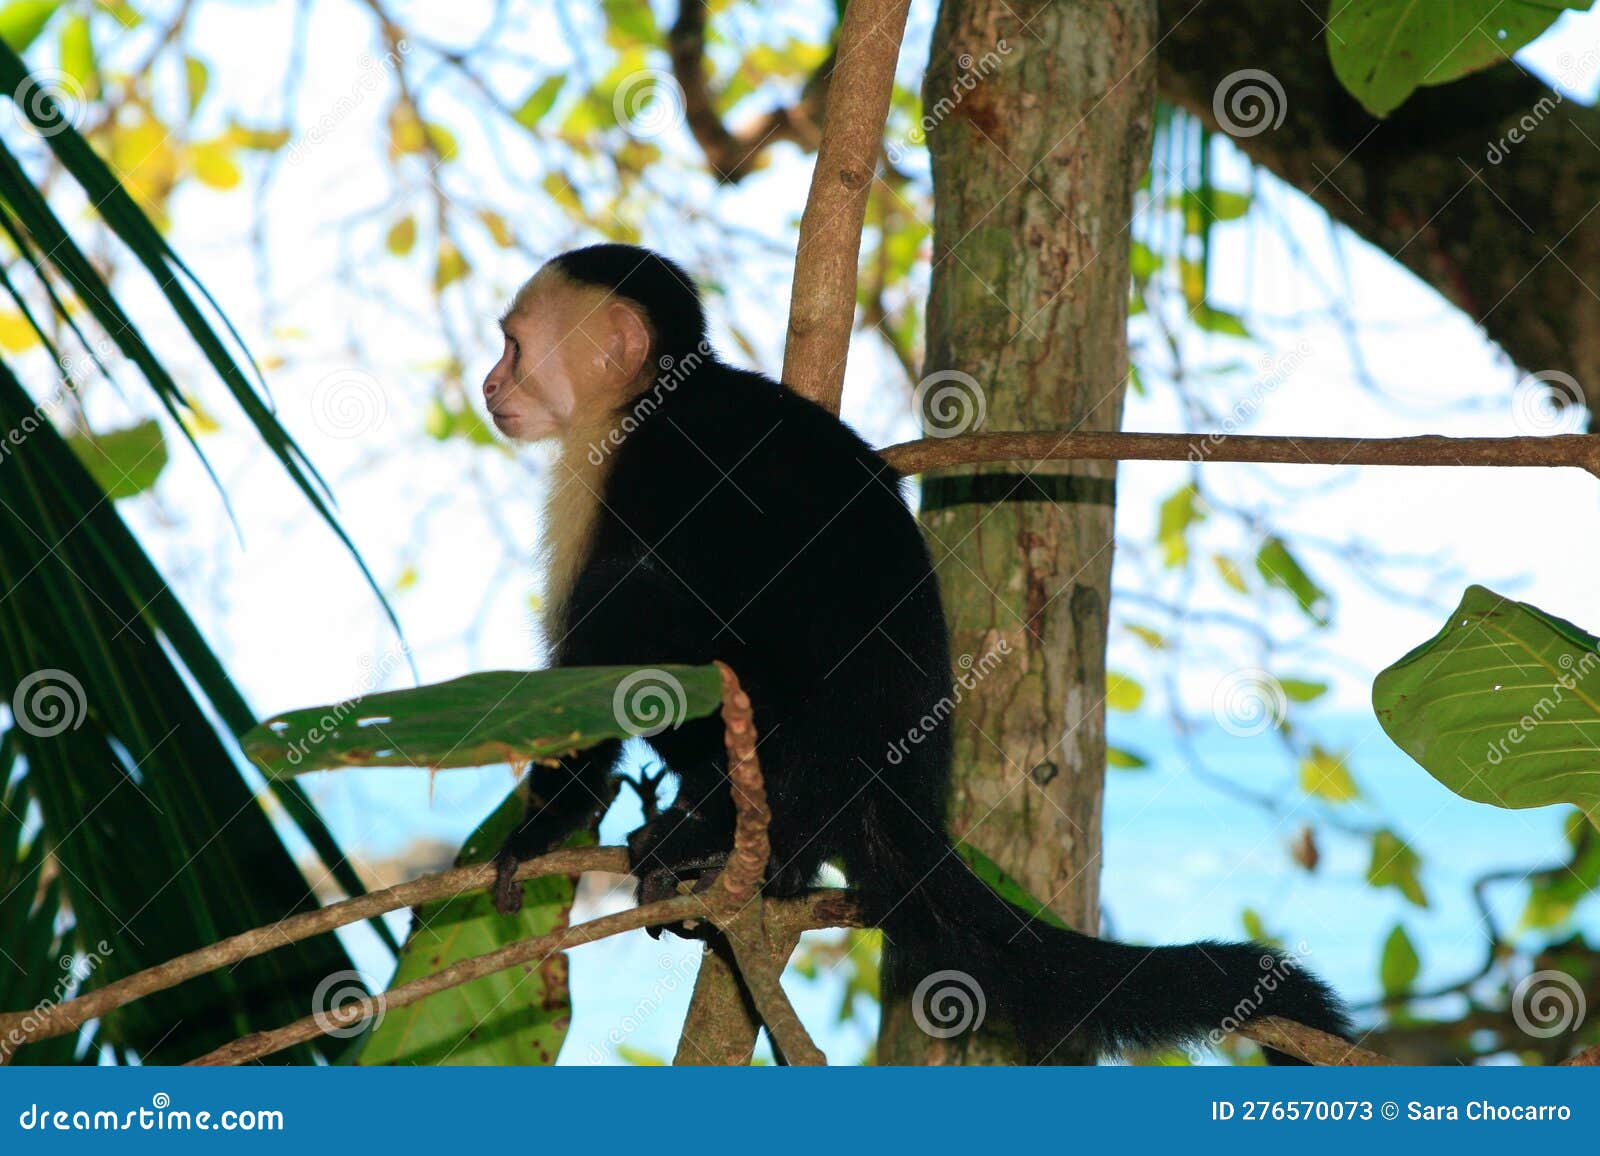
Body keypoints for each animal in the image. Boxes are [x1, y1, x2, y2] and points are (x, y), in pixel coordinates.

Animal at [481, 243, 1351, 1063]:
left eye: (514, 348)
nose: (490, 387)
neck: (658, 397)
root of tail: (891, 782)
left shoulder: (608, 462)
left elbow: (590, 684)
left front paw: (532, 837)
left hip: (789, 742)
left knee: (633, 596)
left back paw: (720, 841)